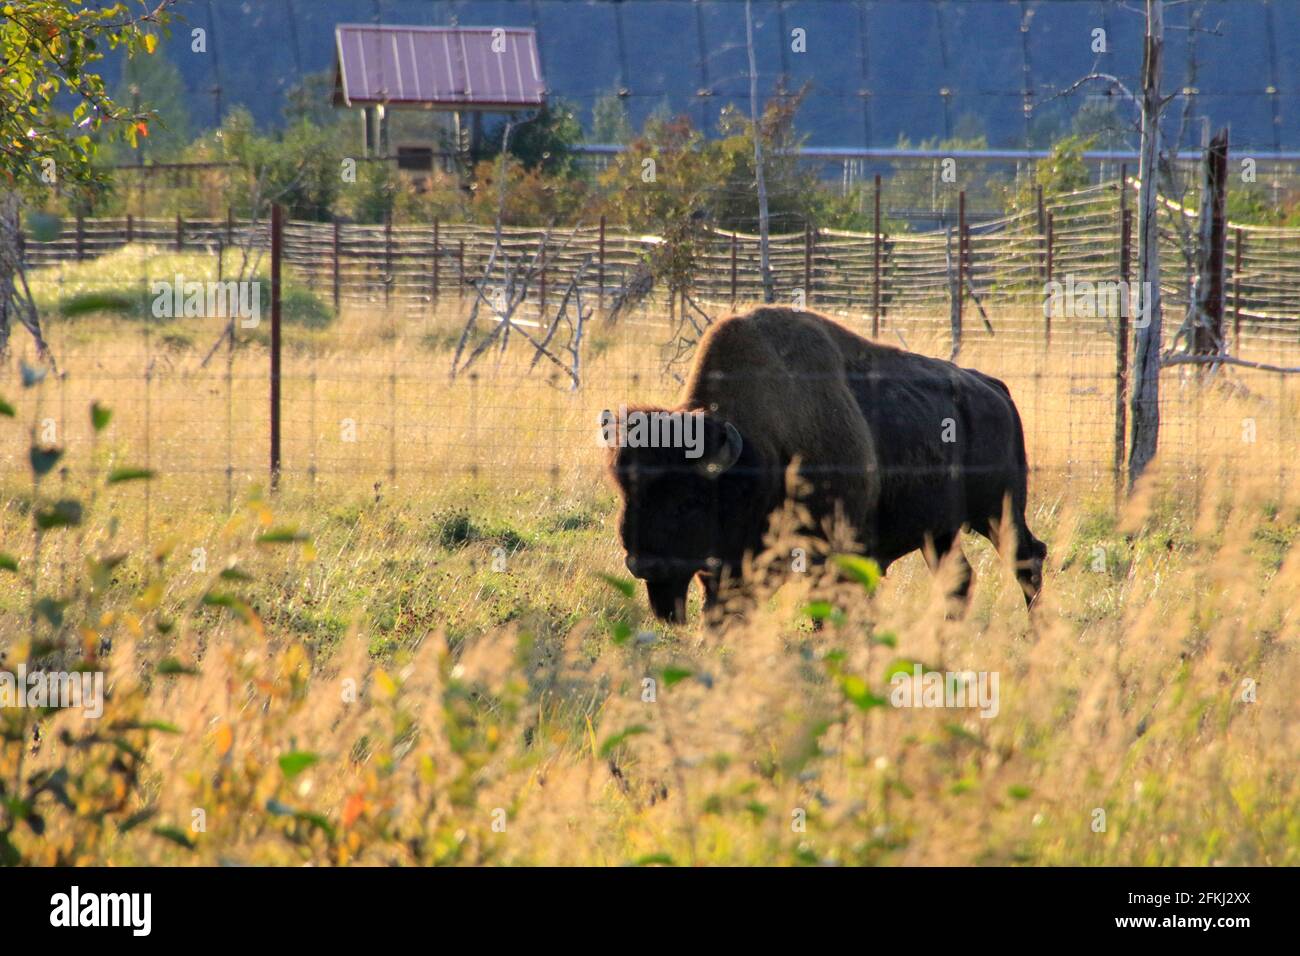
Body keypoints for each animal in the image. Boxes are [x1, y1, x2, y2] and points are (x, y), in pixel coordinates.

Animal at [605, 307, 1047, 623]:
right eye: (626, 495)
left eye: (688, 501)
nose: (641, 564)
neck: (760, 451)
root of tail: (994, 388)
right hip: (941, 531)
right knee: (960, 579)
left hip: (1001, 511)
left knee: (1027, 558)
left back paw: (1034, 634)